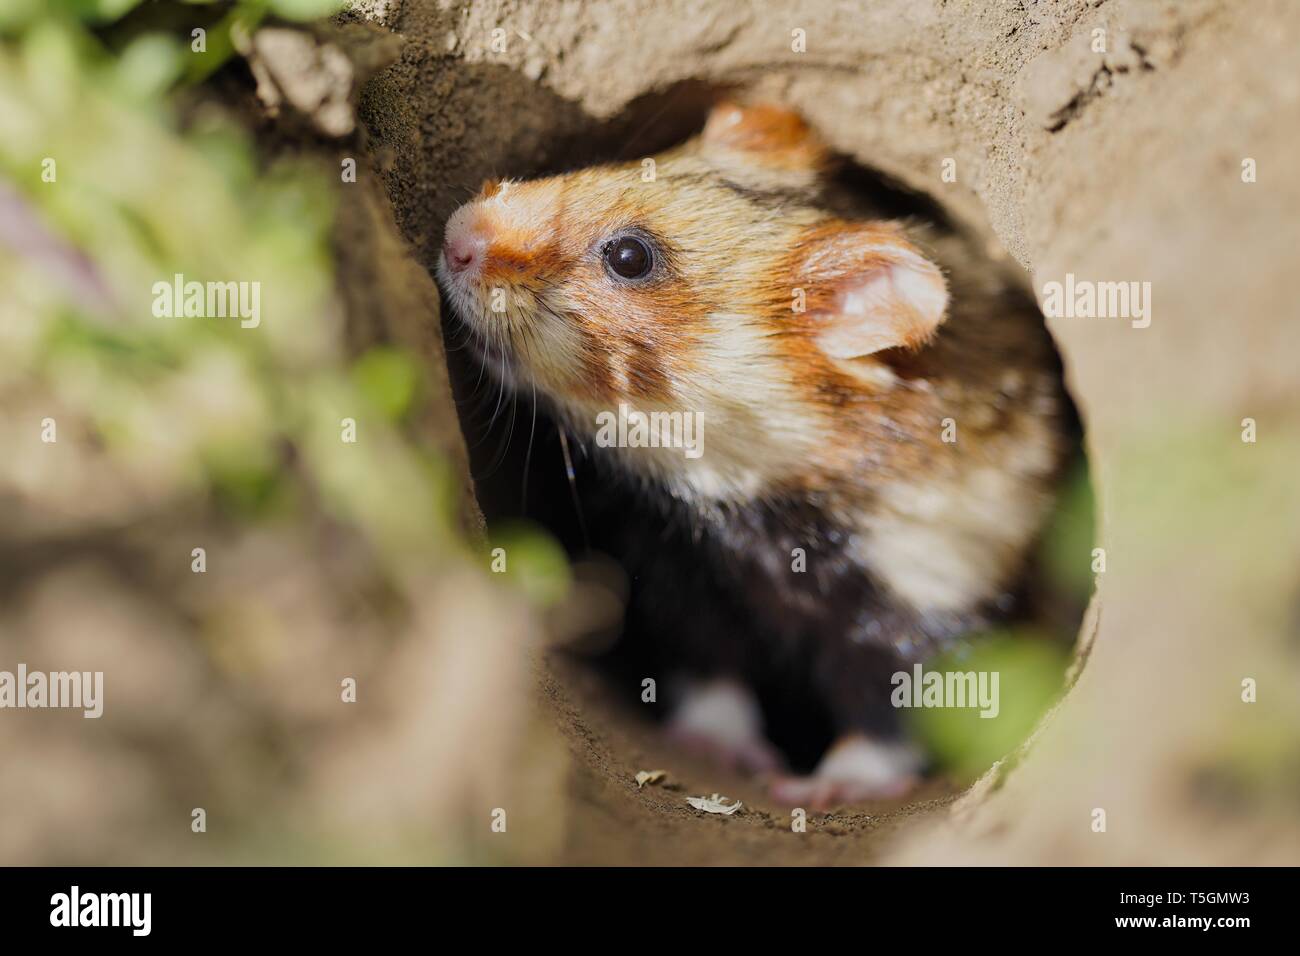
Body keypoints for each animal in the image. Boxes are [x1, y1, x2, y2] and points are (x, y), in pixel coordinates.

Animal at [437, 101, 1070, 809]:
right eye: (610, 165)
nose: (456, 233)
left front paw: (822, 789)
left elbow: (895, 713)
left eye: (629, 256)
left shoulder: (934, 587)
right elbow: (708, 665)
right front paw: (717, 750)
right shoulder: (678, 570)